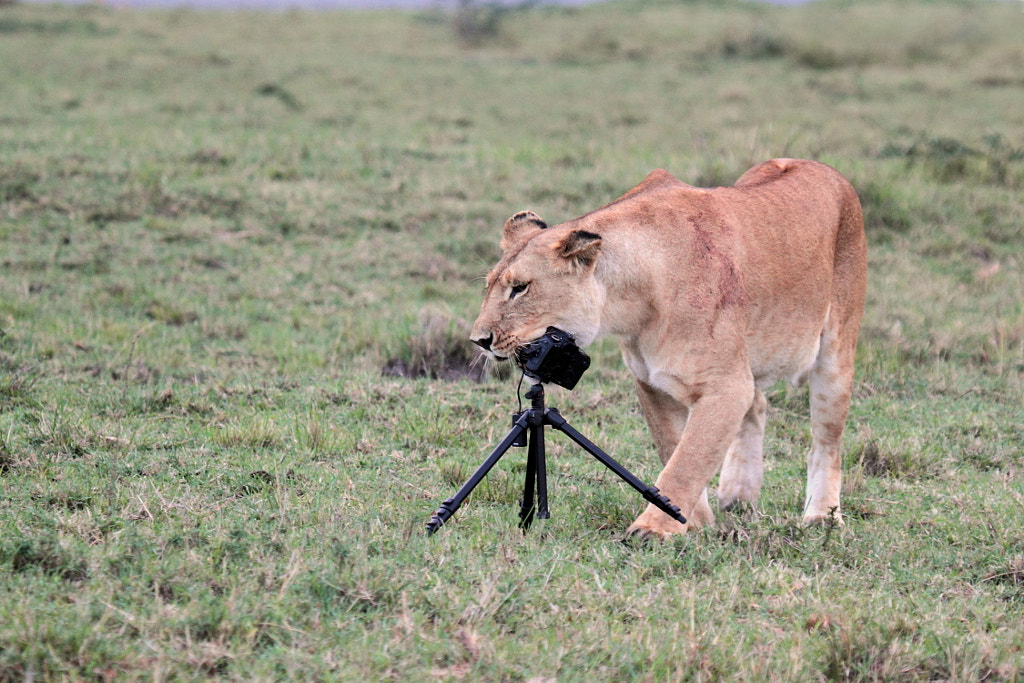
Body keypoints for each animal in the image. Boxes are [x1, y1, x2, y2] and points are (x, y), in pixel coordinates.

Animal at [470, 159, 867, 539]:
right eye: (489, 285)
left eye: (521, 288)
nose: (479, 340)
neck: (631, 301)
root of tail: (826, 170)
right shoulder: (652, 383)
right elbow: (674, 449)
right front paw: (693, 523)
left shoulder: (725, 385)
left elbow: (687, 461)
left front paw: (655, 528)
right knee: (758, 406)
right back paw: (738, 497)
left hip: (836, 354)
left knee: (826, 441)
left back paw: (822, 517)